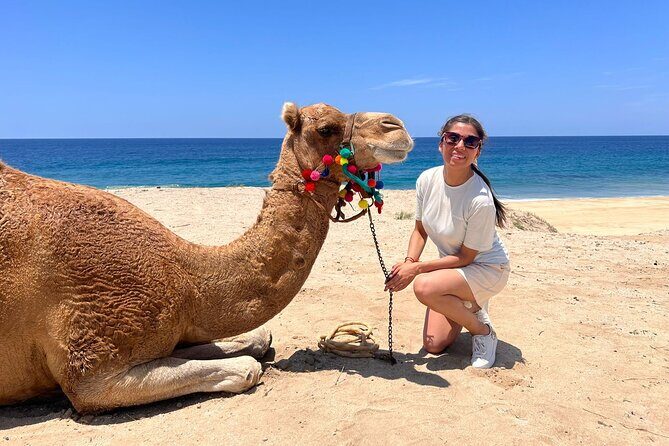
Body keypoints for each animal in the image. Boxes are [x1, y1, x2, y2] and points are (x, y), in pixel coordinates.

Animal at [0, 102, 413, 413]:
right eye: (327, 127)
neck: (186, 277)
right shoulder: (91, 366)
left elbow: (255, 338)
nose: (397, 126)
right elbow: (247, 368)